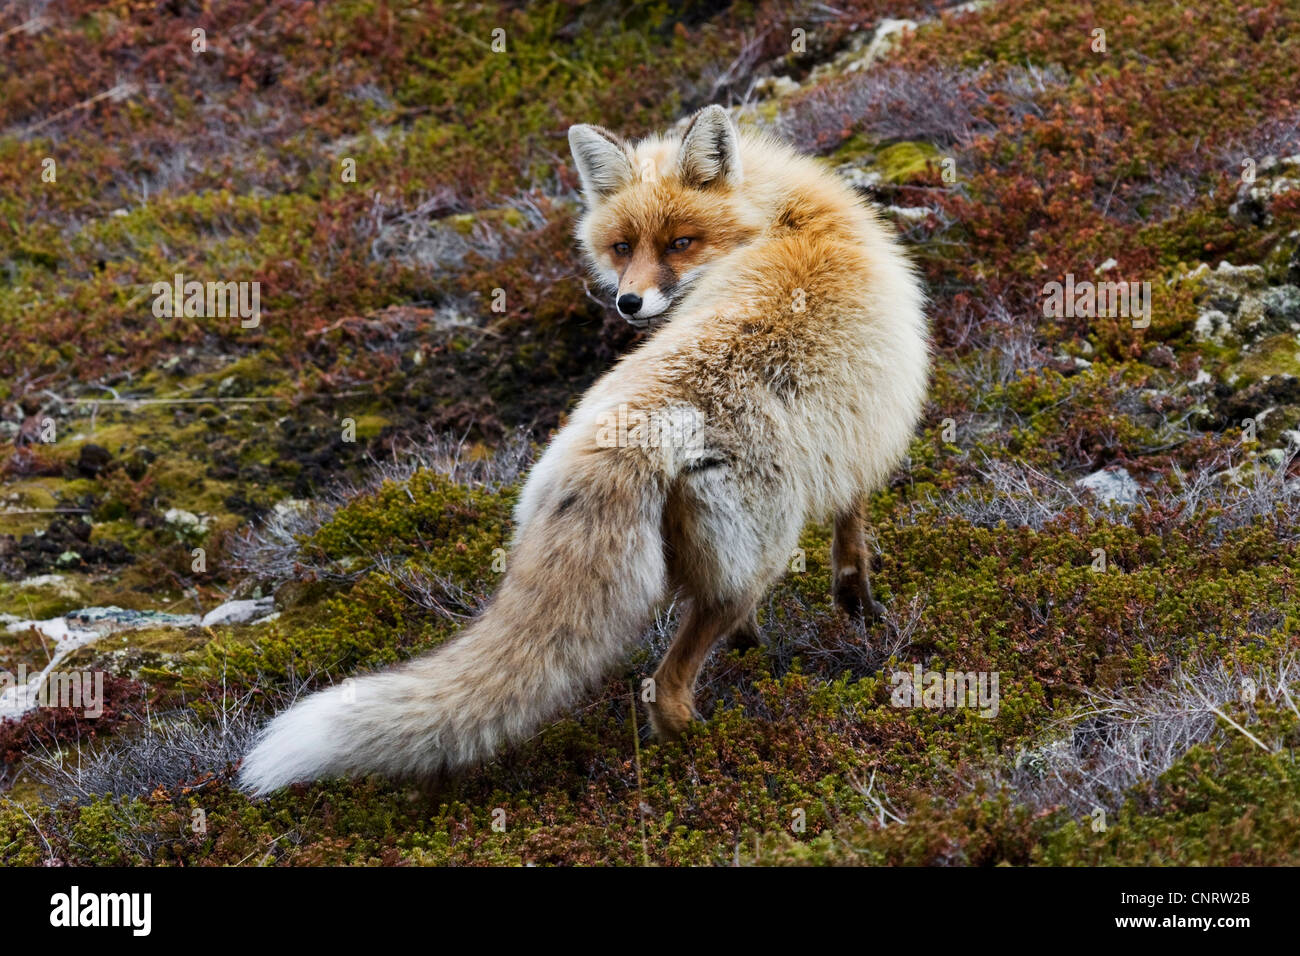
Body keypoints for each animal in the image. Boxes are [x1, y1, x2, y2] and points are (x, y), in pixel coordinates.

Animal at [237, 105, 930, 795]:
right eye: (624, 247)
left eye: (680, 242)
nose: (628, 302)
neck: (785, 218)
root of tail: (635, 434)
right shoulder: (866, 437)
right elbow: (852, 542)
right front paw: (861, 611)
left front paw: (776, 636)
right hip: (759, 555)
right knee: (667, 682)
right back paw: (709, 746)